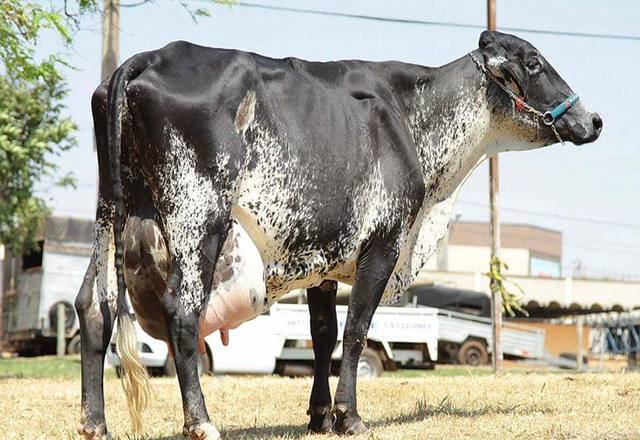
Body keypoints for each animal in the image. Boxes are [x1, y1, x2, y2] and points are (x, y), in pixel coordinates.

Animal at [74, 30, 601, 440]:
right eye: (533, 63)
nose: (592, 120)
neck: (415, 116)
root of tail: (151, 57)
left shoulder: (323, 261)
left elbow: (323, 334)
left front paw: (319, 415)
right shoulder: (383, 244)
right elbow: (356, 331)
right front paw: (349, 416)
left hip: (110, 214)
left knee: (94, 307)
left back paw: (94, 423)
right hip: (197, 216)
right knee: (182, 313)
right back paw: (200, 422)